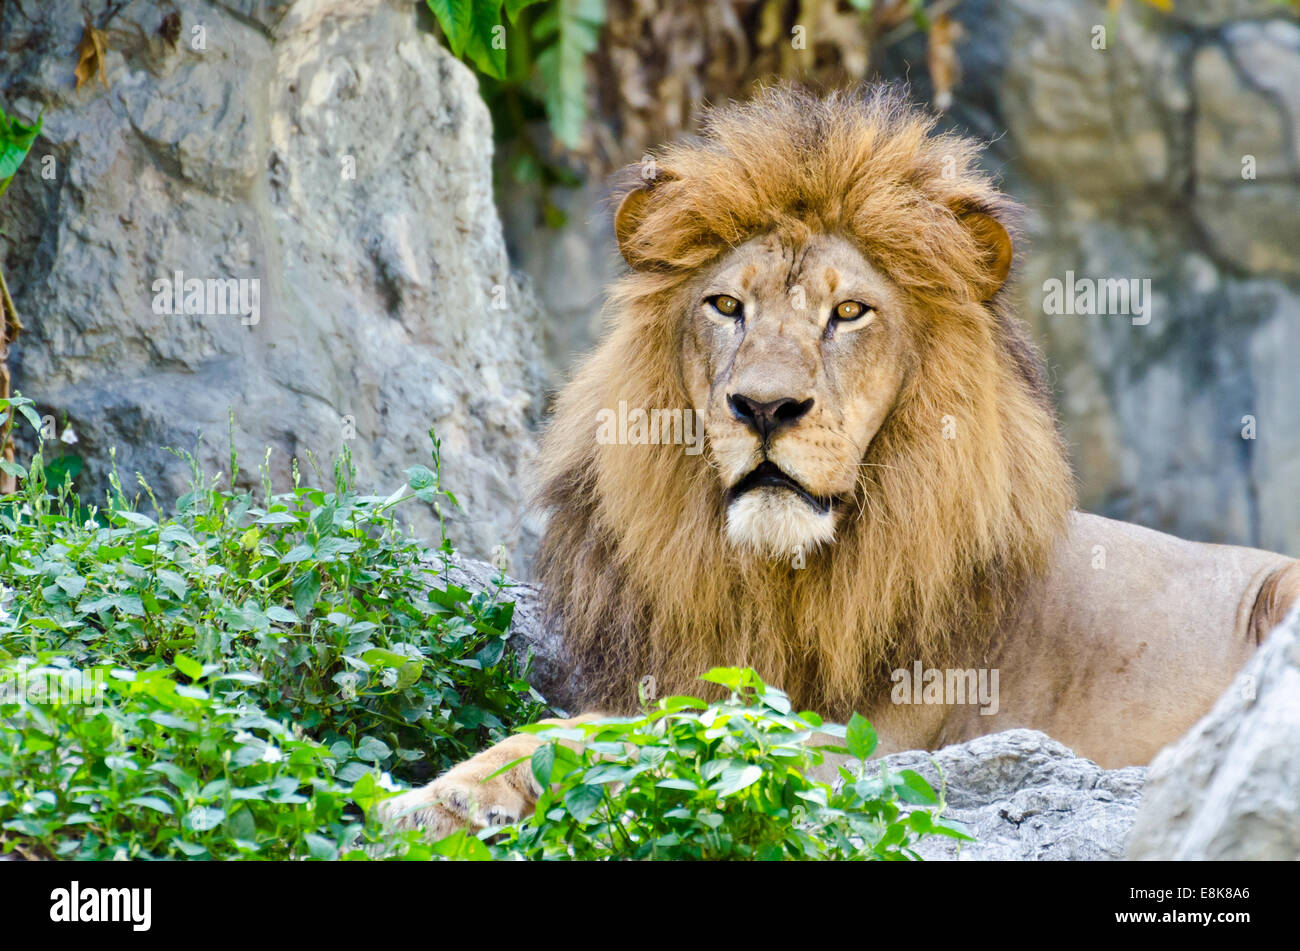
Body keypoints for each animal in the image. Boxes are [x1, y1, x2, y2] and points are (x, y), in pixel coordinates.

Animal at [381, 85, 1300, 839]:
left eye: (849, 312)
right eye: (726, 304)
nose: (764, 407)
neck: (777, 576)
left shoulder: (872, 744)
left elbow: (654, 732)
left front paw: (458, 790)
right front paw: (441, 793)